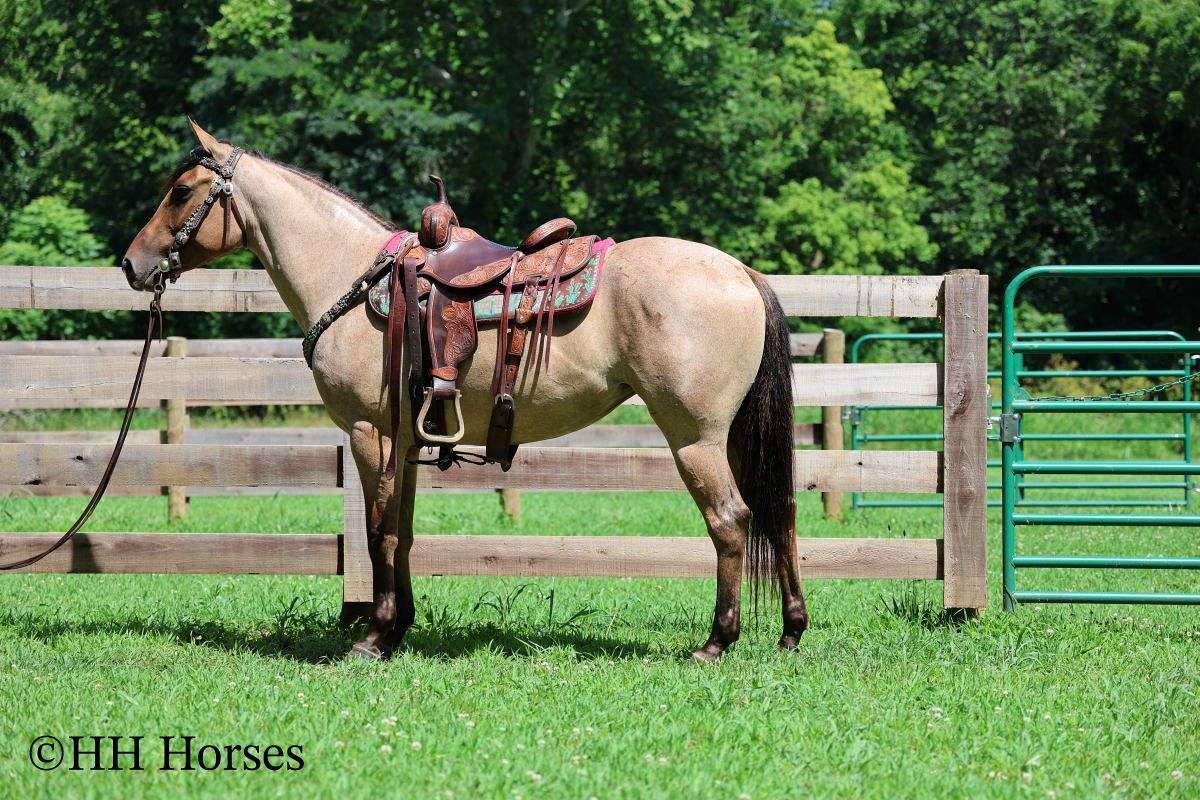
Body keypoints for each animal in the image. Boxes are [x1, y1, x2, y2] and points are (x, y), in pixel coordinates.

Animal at [121, 118, 804, 662]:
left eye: (181, 191)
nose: (131, 264)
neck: (350, 277)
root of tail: (741, 272)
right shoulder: (405, 438)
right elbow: (402, 530)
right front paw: (399, 629)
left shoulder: (371, 434)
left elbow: (377, 530)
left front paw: (375, 636)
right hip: (732, 437)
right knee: (778, 511)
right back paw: (791, 629)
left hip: (696, 438)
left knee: (730, 520)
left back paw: (717, 641)